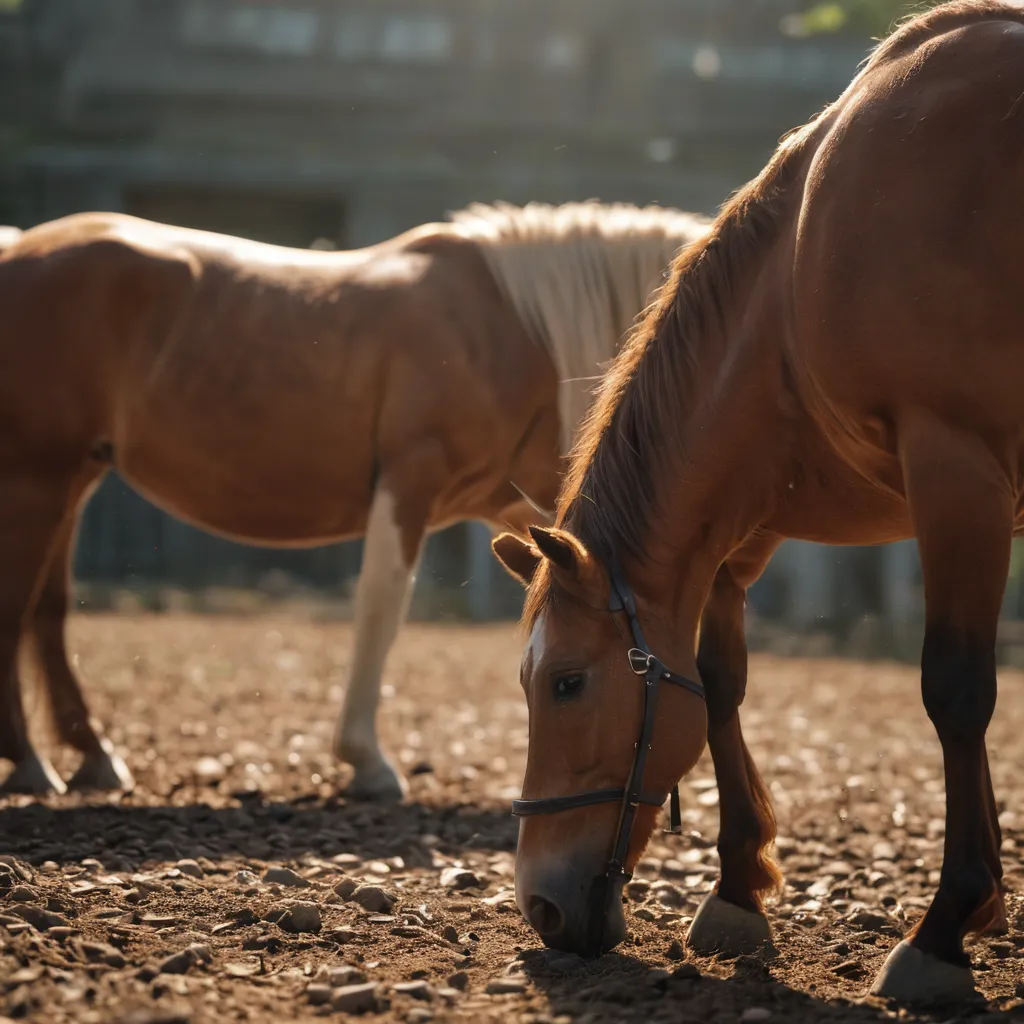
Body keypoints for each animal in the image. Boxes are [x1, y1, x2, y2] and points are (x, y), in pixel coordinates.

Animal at [0, 200, 708, 800]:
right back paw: (31, 762)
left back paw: (92, 756)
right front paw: (366, 760)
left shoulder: (523, 511)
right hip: (37, 479)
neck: (517, 332)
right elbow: (381, 608)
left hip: (71, 478)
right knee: (19, 608)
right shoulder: (410, 483)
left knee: (47, 612)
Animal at [492, 0, 1024, 1002]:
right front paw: (738, 886)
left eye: (568, 682)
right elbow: (718, 681)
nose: (541, 905)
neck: (795, 282)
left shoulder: (958, 472)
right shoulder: (738, 532)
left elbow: (956, 689)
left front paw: (945, 926)